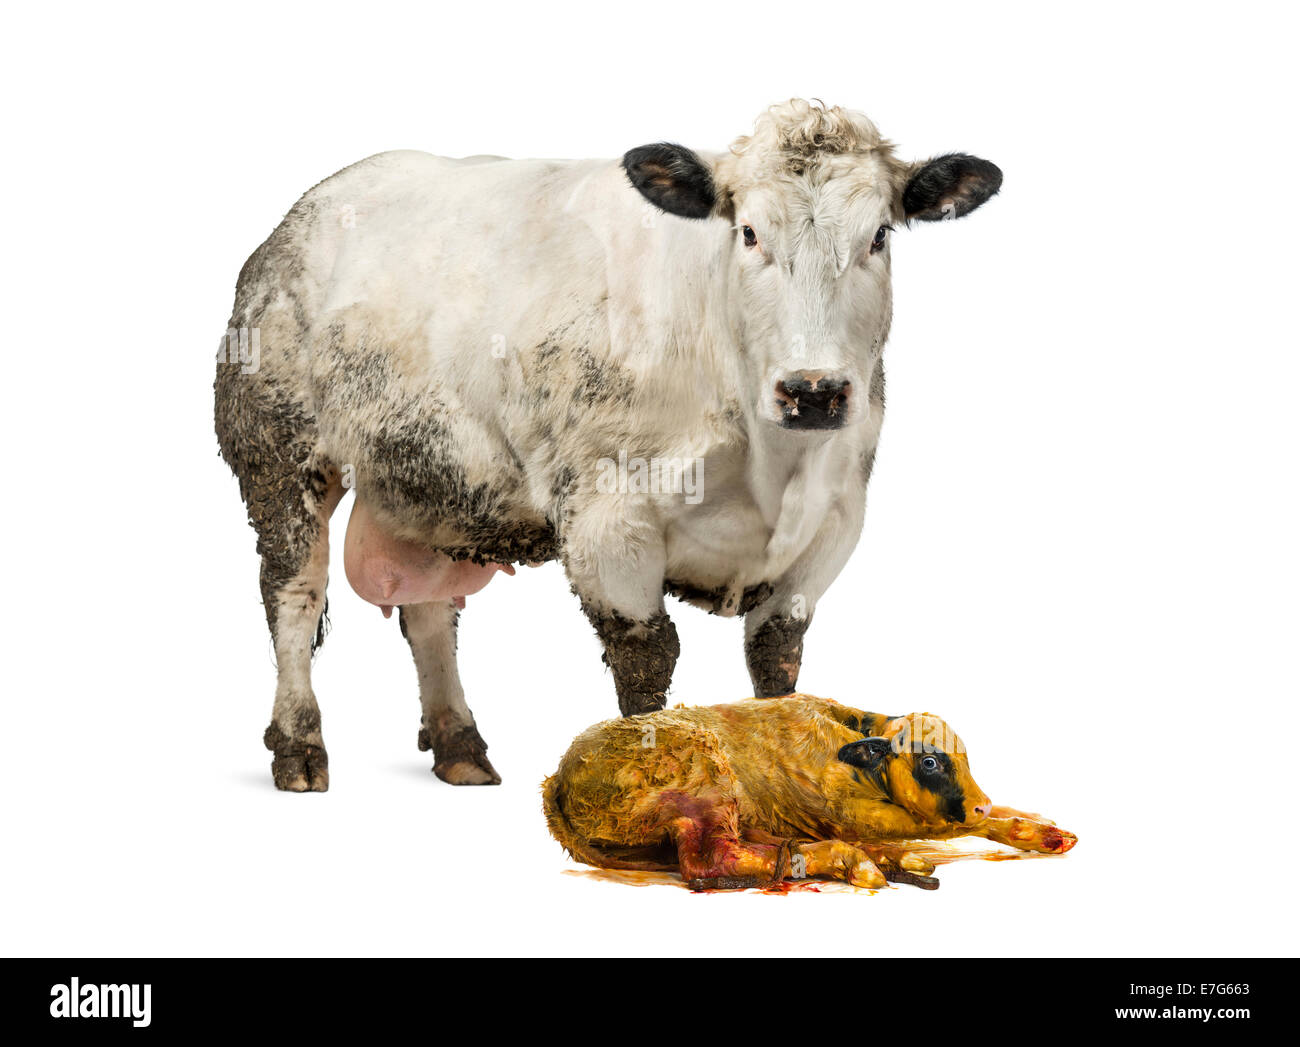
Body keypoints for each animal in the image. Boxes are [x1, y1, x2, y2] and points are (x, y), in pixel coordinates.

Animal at [214, 99, 1003, 791]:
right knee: (295, 593)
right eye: (749, 233)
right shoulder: (607, 516)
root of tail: (302, 216)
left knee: (429, 610)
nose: (813, 391)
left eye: (879, 236)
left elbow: (777, 658)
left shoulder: (833, 524)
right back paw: (300, 747)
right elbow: (646, 659)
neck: (771, 463)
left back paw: (460, 744)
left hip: (431, 474)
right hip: (279, 450)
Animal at [543, 695, 1076, 890]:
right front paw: (1039, 833)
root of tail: (559, 778)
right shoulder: (850, 811)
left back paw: (887, 858)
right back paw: (856, 860)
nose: (977, 798)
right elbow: (956, 822)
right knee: (713, 862)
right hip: (707, 785)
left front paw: (1044, 825)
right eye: (929, 761)